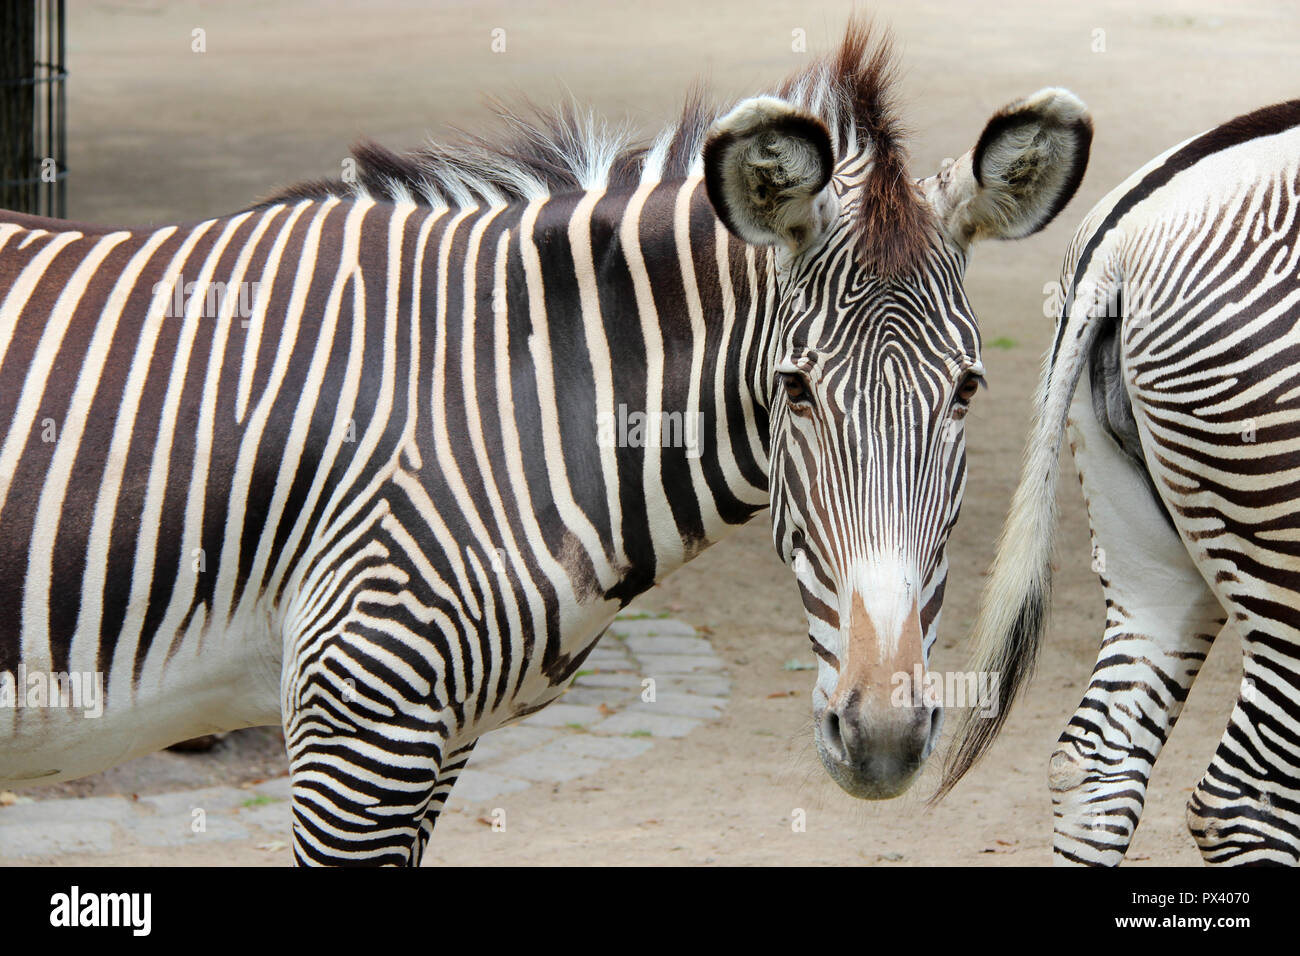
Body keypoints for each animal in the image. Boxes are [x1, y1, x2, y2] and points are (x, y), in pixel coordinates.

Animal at [0, 23, 1092, 864]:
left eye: (966, 391)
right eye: (794, 389)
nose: (882, 737)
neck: (503, 399)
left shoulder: (432, 746)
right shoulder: (356, 722)